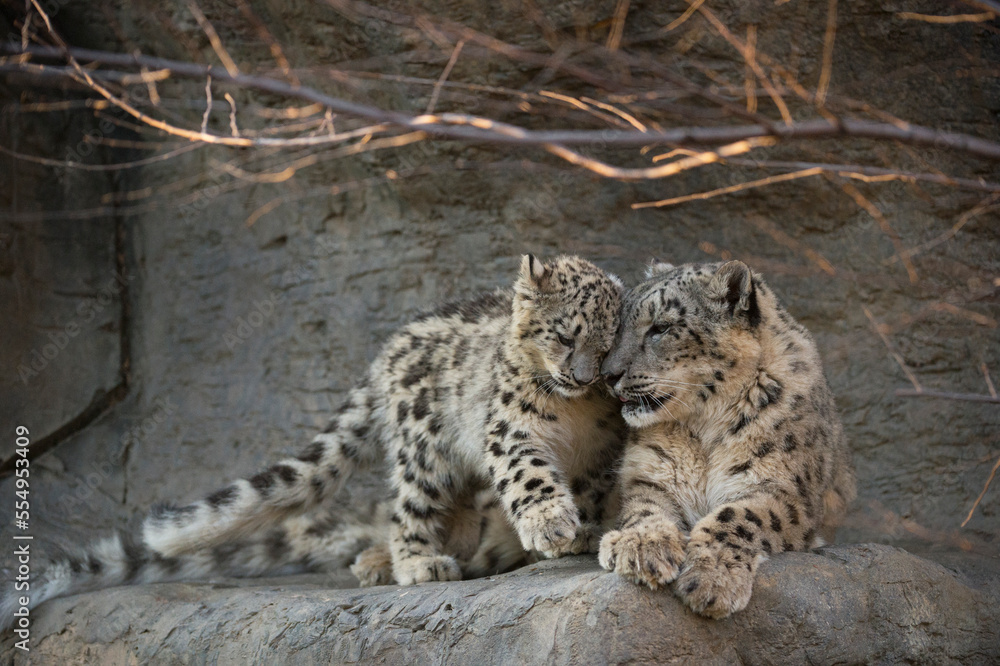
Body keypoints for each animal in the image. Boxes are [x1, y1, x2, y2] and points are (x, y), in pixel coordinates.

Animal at [1, 254, 625, 629]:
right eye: (564, 335)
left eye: (607, 345)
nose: (582, 376)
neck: (571, 416)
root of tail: (385, 354)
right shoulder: (512, 429)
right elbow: (528, 473)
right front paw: (550, 523)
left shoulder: (599, 453)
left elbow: (591, 490)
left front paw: (579, 531)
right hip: (424, 449)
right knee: (411, 509)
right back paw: (415, 563)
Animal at [596, 259, 856, 619]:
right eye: (618, 329)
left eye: (661, 327)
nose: (608, 374)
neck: (703, 430)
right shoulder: (650, 477)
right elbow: (644, 508)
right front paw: (641, 546)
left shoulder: (785, 489)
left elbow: (739, 516)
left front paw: (711, 578)